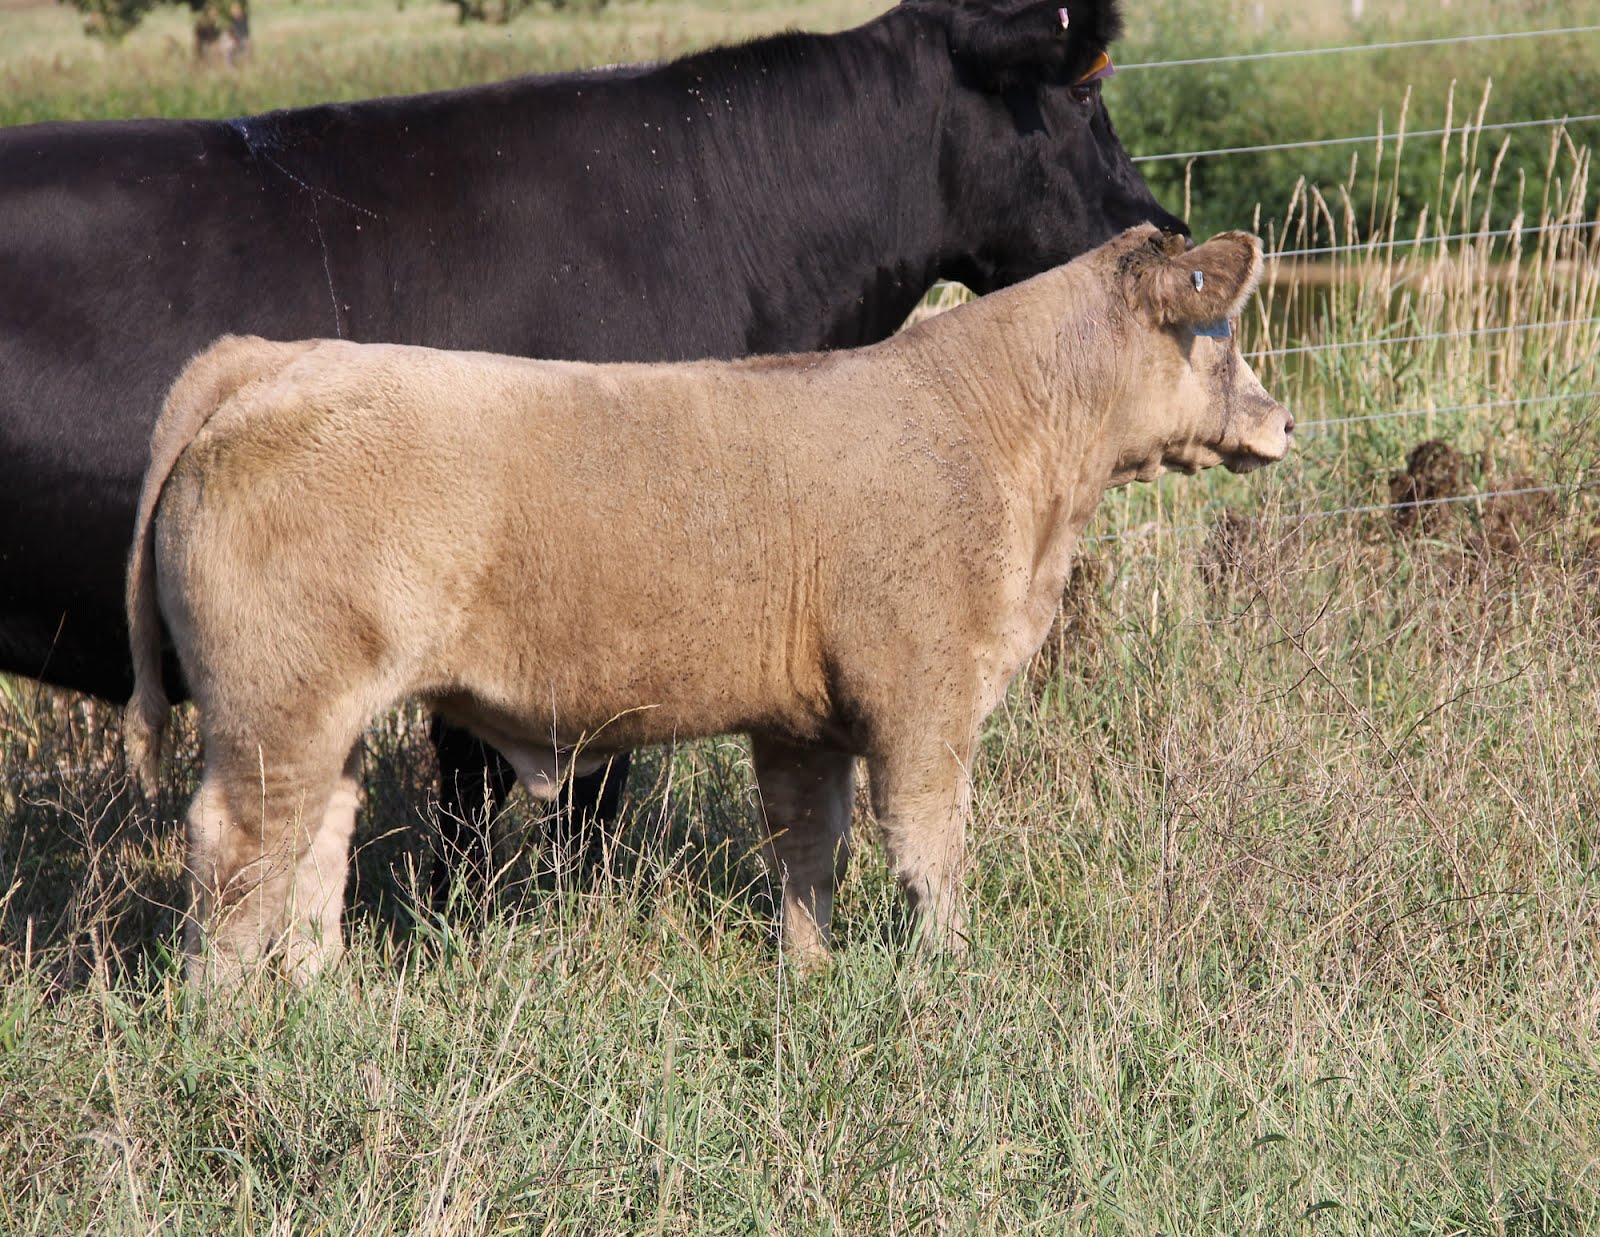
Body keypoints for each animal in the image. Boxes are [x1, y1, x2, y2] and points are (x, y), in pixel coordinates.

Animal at [124, 226, 1291, 985]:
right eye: (1223, 336)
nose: (1283, 421)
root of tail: (273, 359)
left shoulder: (803, 724)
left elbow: (808, 849)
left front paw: (810, 972)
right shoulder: (922, 700)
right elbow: (929, 850)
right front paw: (954, 972)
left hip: (323, 718)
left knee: (315, 843)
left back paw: (321, 993)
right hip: (274, 712)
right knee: (236, 849)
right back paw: (234, 1014)